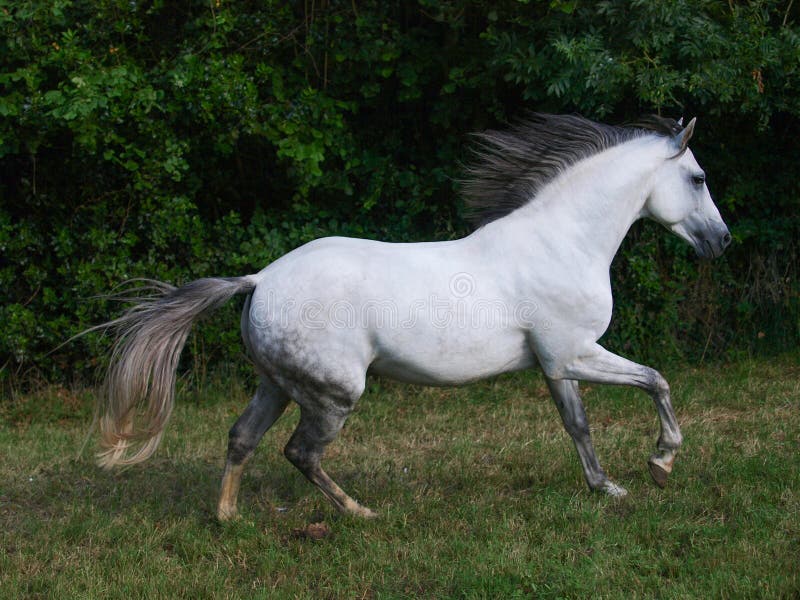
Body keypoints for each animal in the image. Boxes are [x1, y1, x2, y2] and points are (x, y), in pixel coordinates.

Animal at [92, 114, 731, 522]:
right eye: (698, 179)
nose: (722, 241)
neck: (562, 243)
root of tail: (260, 280)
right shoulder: (574, 352)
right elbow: (657, 381)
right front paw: (661, 463)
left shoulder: (555, 363)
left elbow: (579, 425)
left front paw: (608, 488)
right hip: (335, 393)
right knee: (301, 453)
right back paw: (360, 512)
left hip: (275, 384)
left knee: (241, 438)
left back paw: (228, 518)